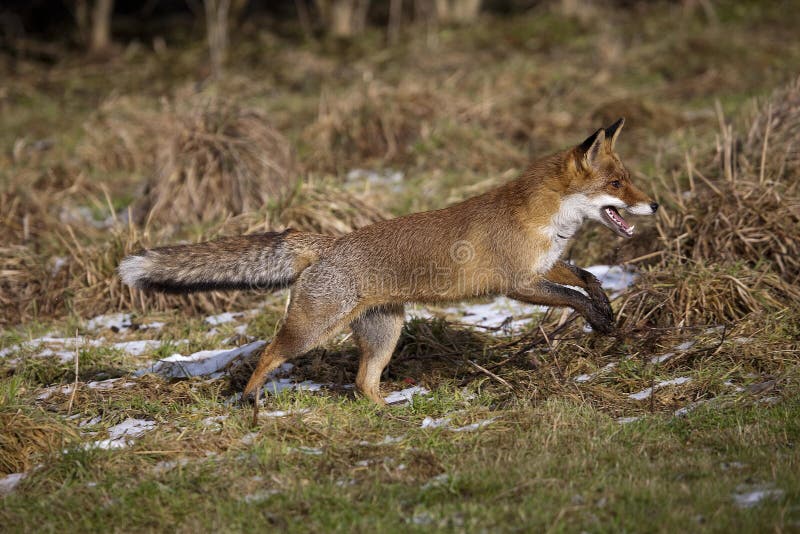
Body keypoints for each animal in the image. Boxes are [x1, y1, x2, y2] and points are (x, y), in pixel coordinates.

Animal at [119, 118, 658, 405]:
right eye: (616, 184)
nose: (654, 205)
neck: (545, 220)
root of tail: (328, 242)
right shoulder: (517, 283)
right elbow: (573, 296)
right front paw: (598, 320)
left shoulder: (545, 267)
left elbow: (587, 278)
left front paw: (607, 312)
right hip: (313, 330)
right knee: (271, 352)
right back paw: (250, 398)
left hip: (385, 333)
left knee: (362, 382)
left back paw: (391, 411)